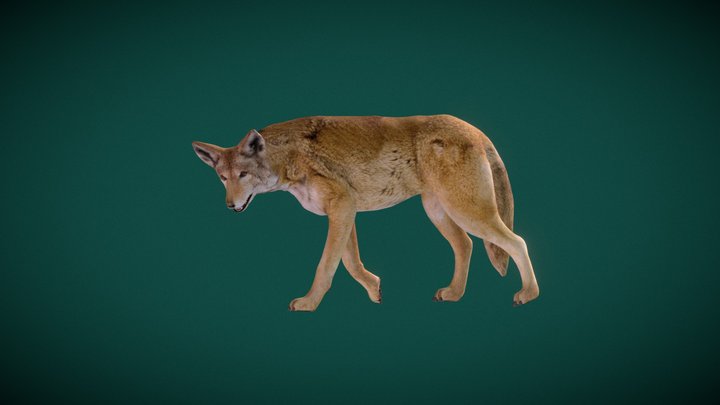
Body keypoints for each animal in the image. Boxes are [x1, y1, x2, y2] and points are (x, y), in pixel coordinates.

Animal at [192, 115, 539, 311]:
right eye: (223, 178)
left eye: (243, 175)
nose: (230, 205)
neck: (287, 158)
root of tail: (475, 130)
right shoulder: (344, 213)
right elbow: (351, 263)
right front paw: (375, 291)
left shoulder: (342, 208)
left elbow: (326, 267)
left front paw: (308, 304)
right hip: (439, 212)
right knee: (466, 245)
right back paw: (454, 294)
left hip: (467, 212)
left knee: (517, 242)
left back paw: (528, 294)